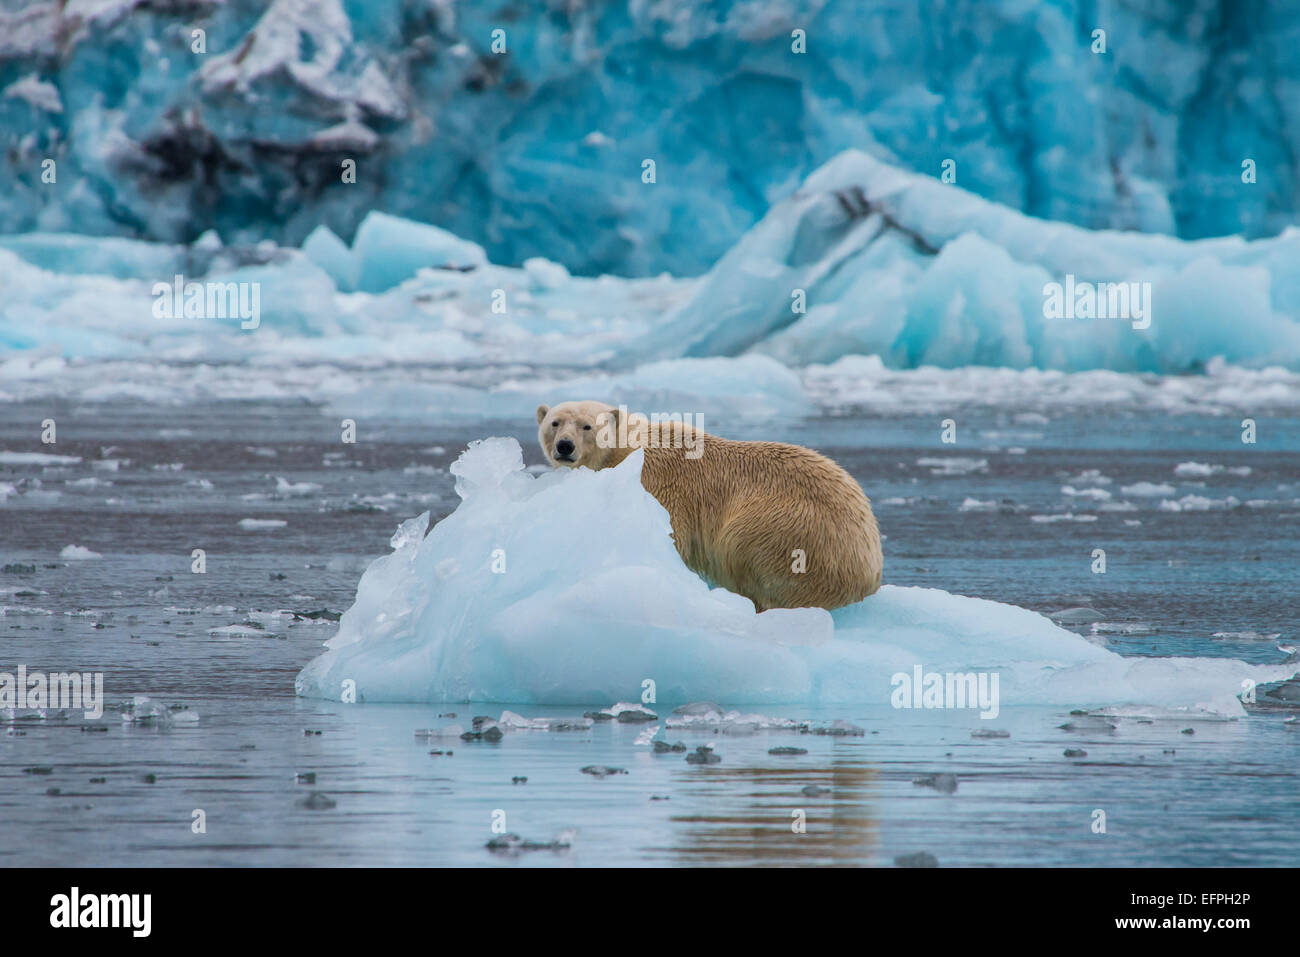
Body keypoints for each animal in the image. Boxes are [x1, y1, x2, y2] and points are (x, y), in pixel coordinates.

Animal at [536, 400, 882, 612]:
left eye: (586, 426)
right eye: (555, 422)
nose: (564, 446)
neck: (630, 448)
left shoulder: (661, 485)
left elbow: (672, 536)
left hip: (789, 529)